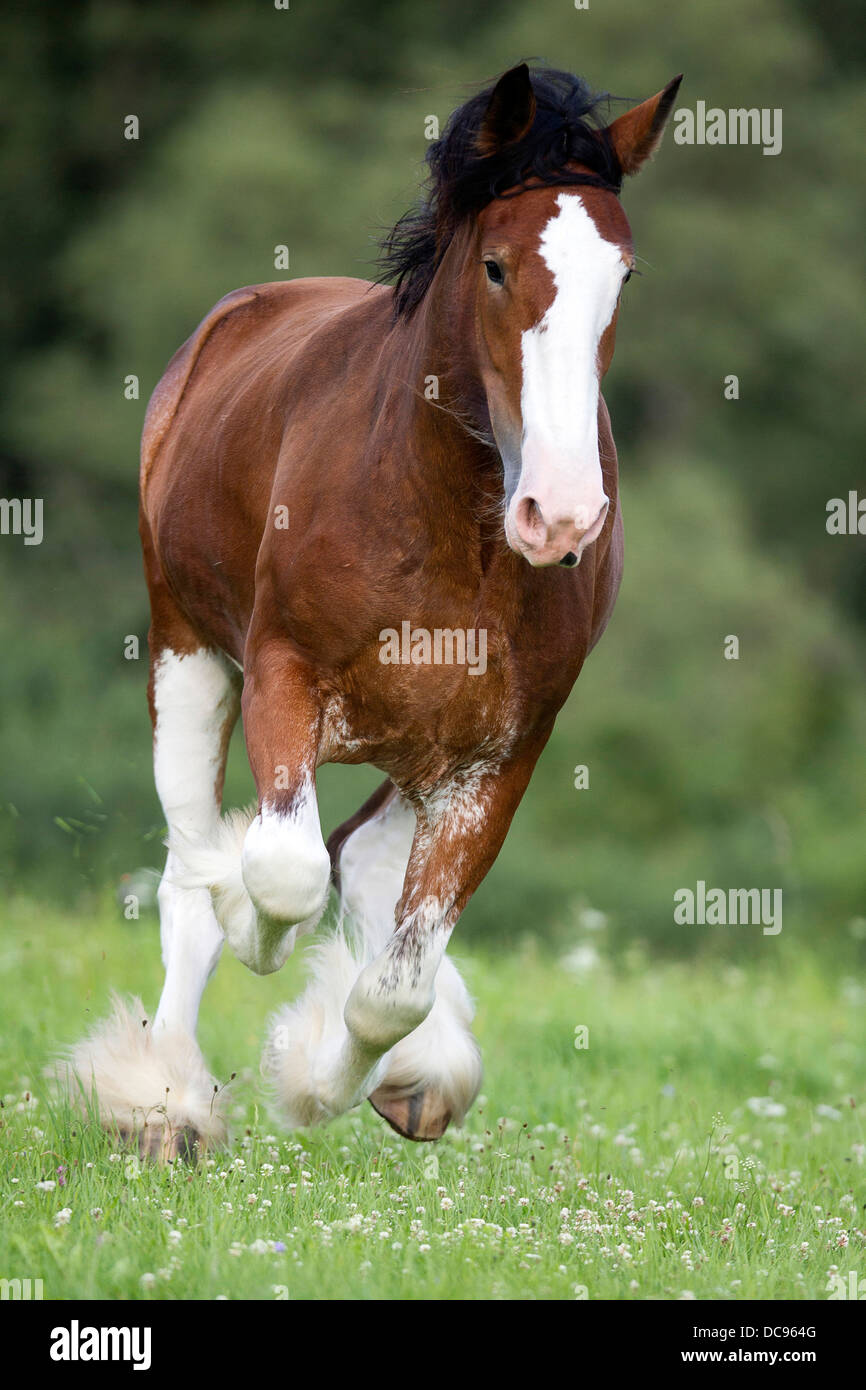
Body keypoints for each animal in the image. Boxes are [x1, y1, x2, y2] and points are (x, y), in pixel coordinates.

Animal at [66, 63, 681, 1158]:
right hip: (185, 650)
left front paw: (350, 1080)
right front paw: (250, 932)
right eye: (494, 267)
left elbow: (392, 981)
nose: (561, 513)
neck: (442, 521)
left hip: (420, 739)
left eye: (621, 278)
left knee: (361, 860)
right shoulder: (281, 674)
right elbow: (275, 872)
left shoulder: (498, 755)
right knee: (191, 875)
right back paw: (163, 1100)